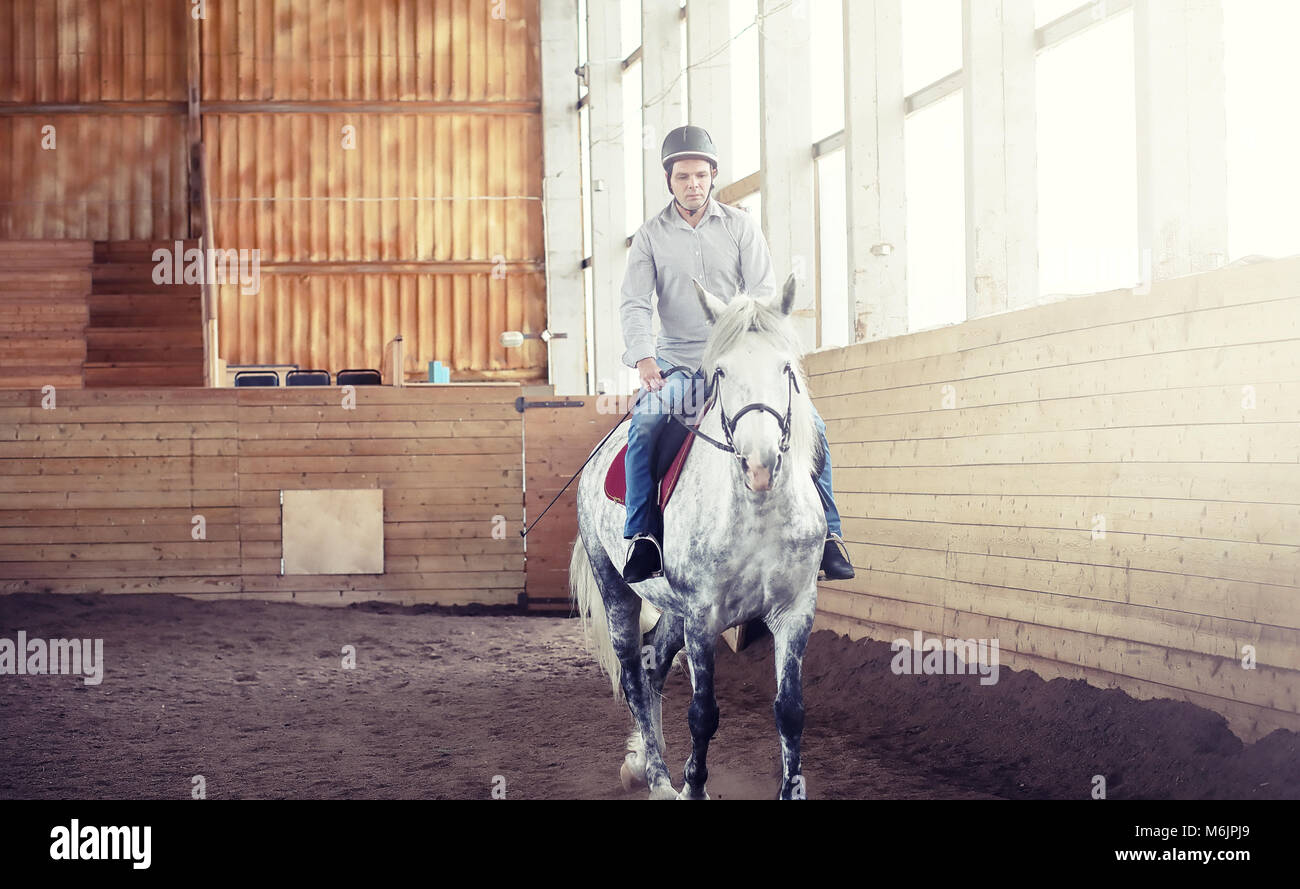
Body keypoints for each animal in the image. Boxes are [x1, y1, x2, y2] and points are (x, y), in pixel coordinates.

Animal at [568, 273, 826, 799]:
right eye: (721, 372)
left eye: (785, 367)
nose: (760, 466)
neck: (757, 513)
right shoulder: (704, 618)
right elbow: (703, 714)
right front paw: (693, 787)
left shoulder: (795, 612)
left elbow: (790, 711)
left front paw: (791, 789)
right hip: (617, 590)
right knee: (633, 674)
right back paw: (657, 777)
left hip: (673, 607)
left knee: (652, 664)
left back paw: (643, 761)